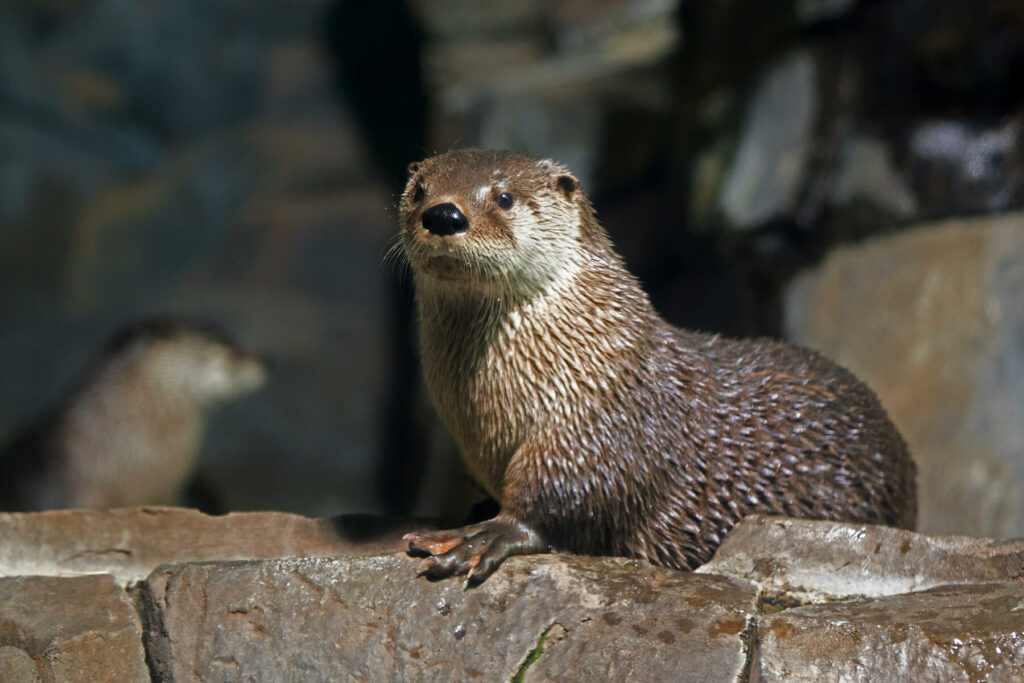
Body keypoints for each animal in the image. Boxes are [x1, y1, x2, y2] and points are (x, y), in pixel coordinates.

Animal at [398, 149, 916, 583]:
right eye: (420, 189)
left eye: (504, 197)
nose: (444, 214)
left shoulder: (601, 428)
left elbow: (558, 502)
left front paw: (484, 535)